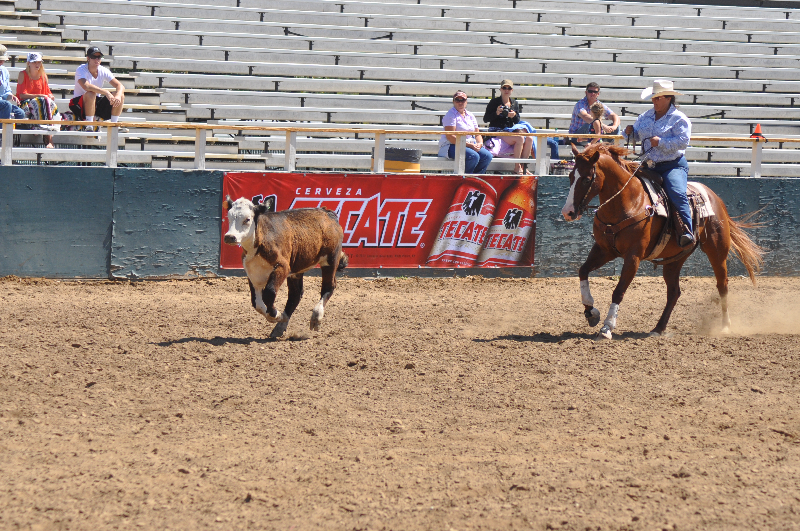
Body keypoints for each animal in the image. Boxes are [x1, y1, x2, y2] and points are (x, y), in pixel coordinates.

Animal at [561, 143, 763, 339]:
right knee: (674, 292)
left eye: (587, 179)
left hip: (717, 251)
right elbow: (583, 271)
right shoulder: (604, 250)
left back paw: (725, 327)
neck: (628, 201)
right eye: (570, 176)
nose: (567, 212)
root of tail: (715, 198)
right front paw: (591, 311)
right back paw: (658, 328)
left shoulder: (633, 257)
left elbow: (618, 291)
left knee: (722, 285)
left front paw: (607, 327)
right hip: (675, 258)